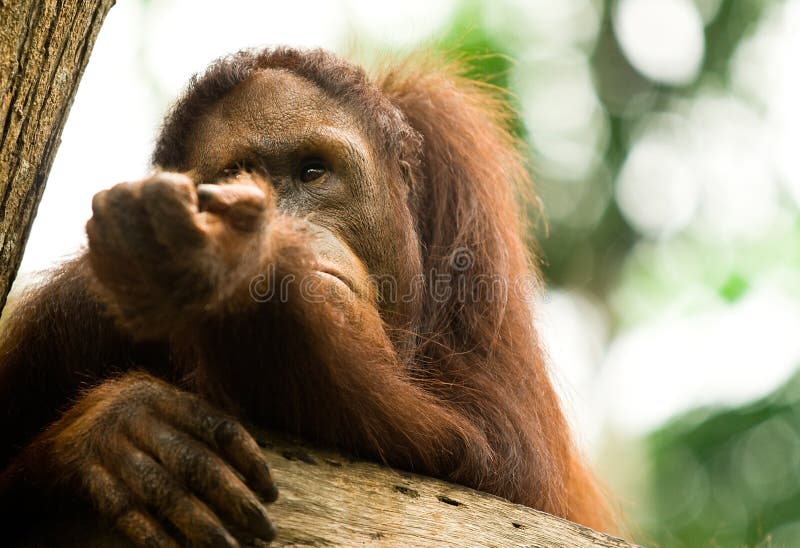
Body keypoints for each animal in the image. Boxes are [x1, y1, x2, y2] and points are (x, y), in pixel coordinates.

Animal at [0, 47, 614, 546]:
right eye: (238, 173)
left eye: (312, 171)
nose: (282, 222)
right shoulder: (61, 325)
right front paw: (121, 435)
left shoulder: (459, 175)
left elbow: (502, 458)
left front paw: (234, 264)